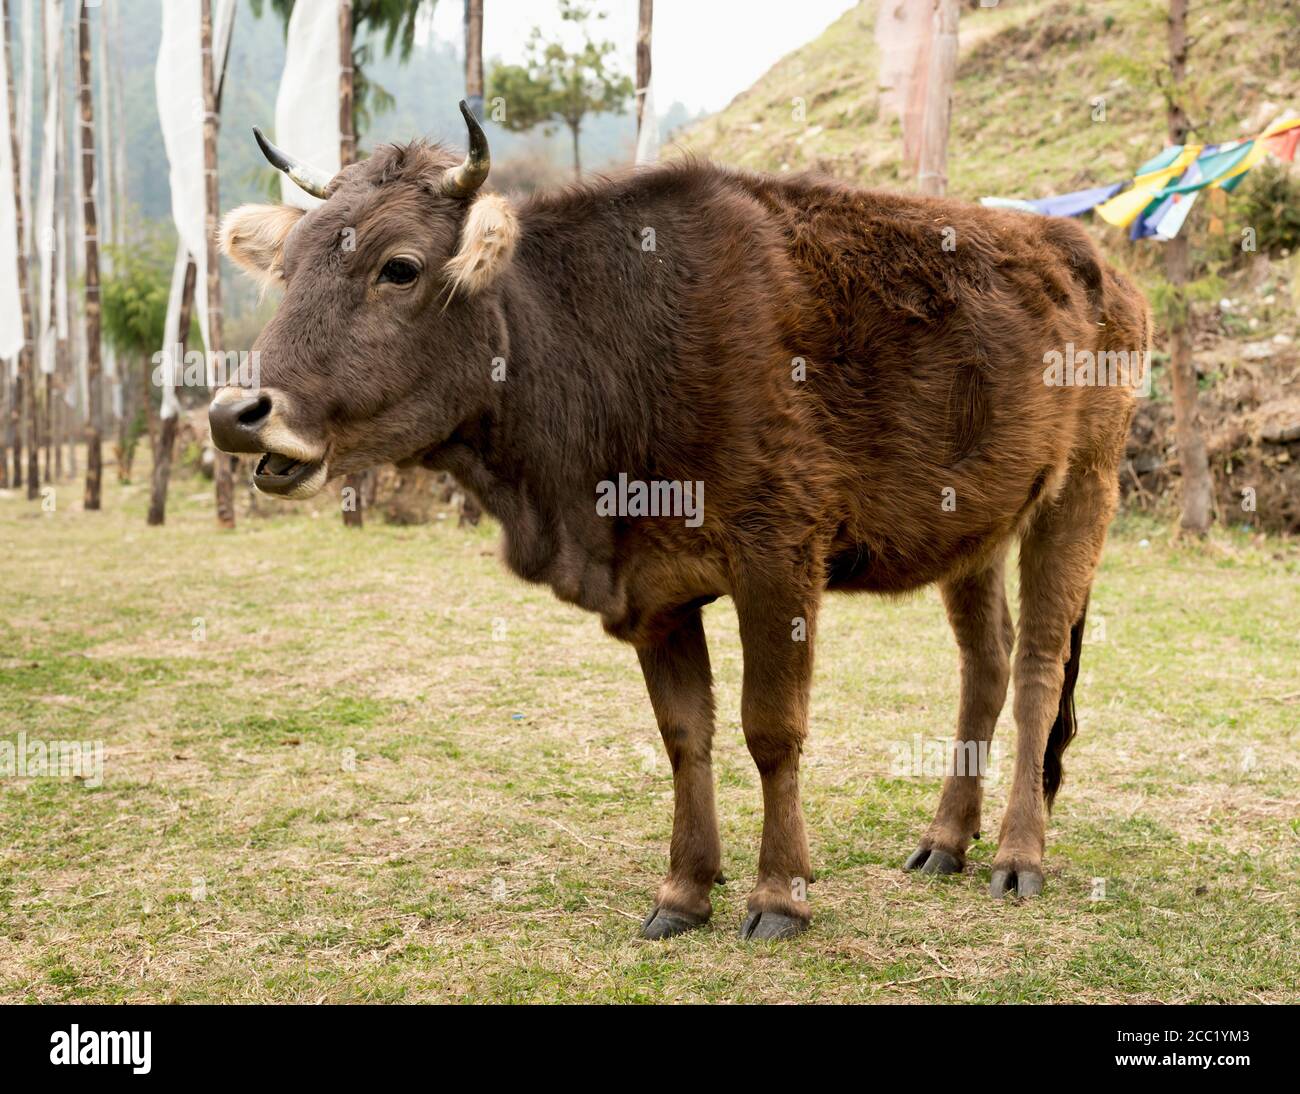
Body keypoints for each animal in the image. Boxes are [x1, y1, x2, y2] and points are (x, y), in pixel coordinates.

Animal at [210, 102, 1146, 941]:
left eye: (398, 267)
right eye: (288, 270)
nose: (236, 412)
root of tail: (1090, 255)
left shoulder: (781, 559)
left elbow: (771, 730)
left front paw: (780, 895)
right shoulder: (652, 589)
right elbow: (685, 736)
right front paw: (685, 890)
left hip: (1083, 489)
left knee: (1037, 667)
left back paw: (1017, 853)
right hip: (974, 524)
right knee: (984, 663)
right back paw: (946, 837)